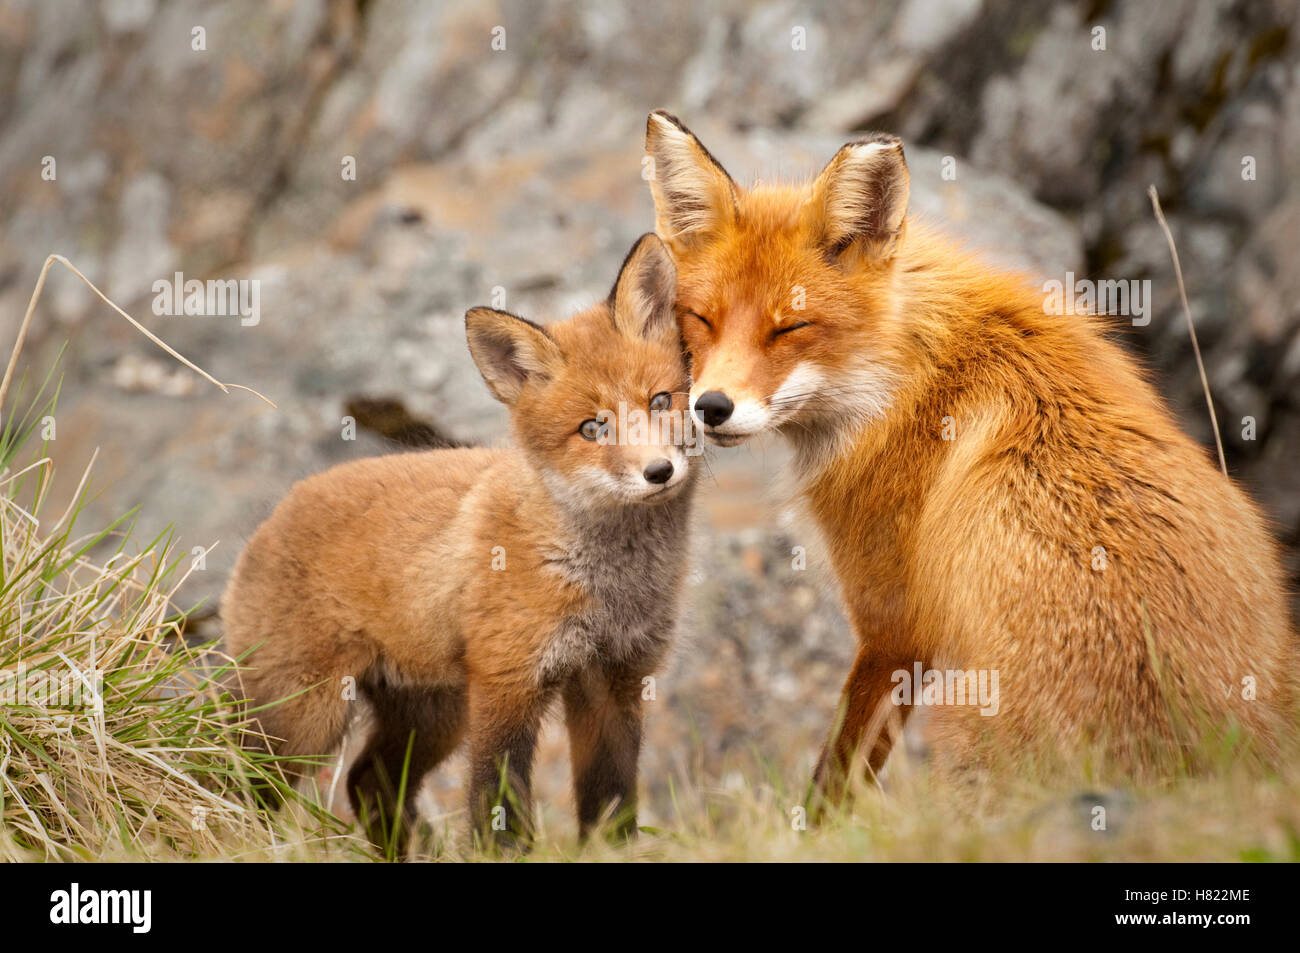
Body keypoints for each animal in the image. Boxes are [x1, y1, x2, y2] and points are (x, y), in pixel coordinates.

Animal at [222, 233, 696, 849]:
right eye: (593, 428)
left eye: (660, 401)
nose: (659, 472)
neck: (611, 584)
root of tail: (274, 512)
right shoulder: (506, 681)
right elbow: (497, 803)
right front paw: (505, 854)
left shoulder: (616, 680)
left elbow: (611, 797)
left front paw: (612, 853)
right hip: (305, 715)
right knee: (235, 778)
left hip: (431, 714)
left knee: (366, 781)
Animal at [641, 109, 1295, 799]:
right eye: (701, 319)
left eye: (790, 328)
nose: (710, 407)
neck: (905, 377)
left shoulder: (895, 629)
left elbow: (834, 783)